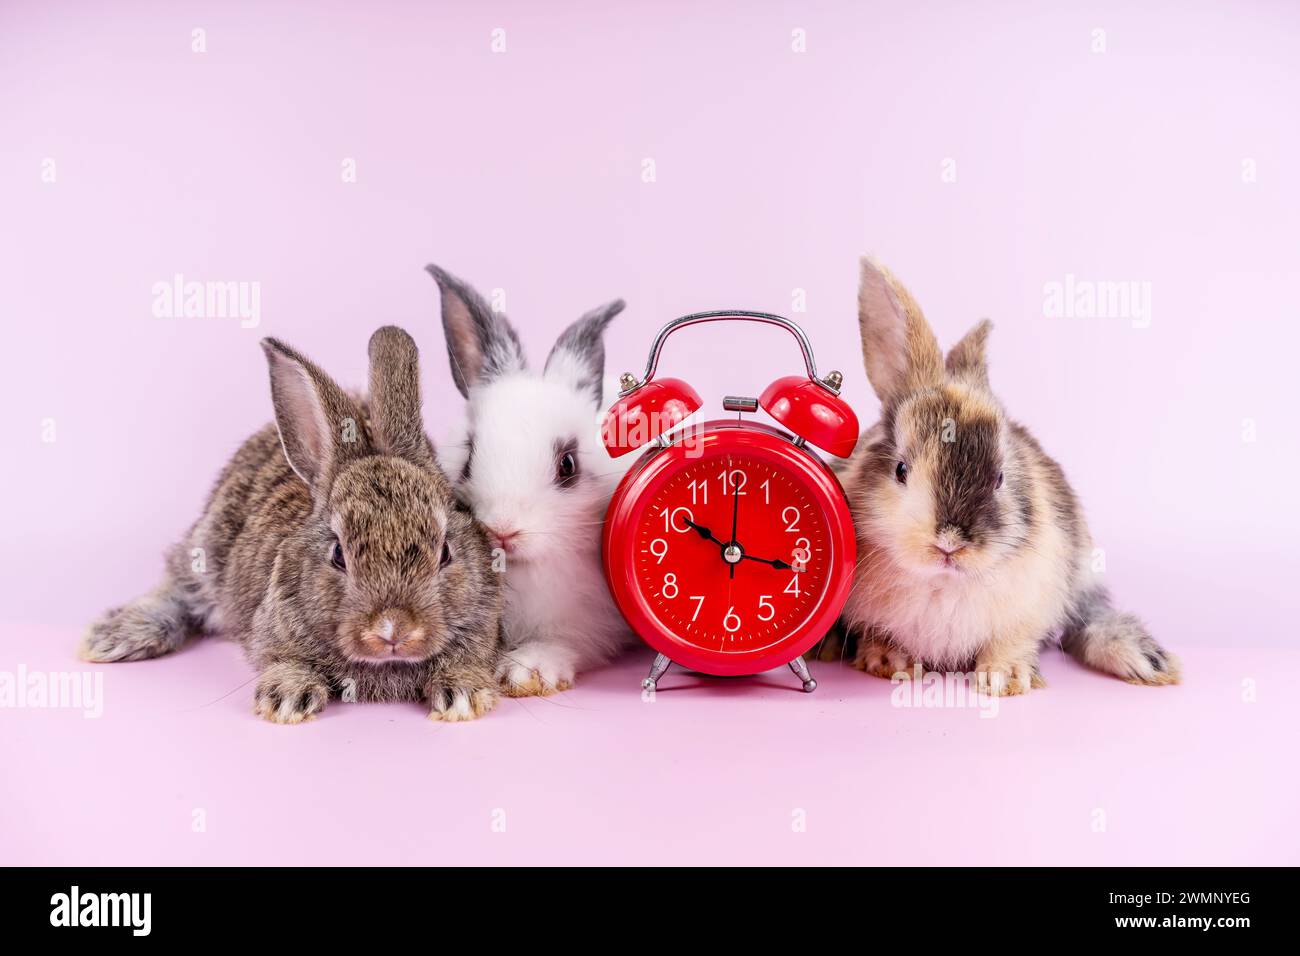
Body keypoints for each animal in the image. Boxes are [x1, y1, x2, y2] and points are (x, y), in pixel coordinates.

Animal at [80, 326, 503, 723]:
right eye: (338, 555)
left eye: (445, 552)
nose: (393, 630)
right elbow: (284, 661)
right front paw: (286, 699)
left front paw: (462, 695)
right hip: (208, 547)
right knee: (181, 587)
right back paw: (113, 636)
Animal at [425, 264, 635, 696]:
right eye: (468, 455)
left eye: (568, 465)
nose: (502, 530)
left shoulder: (590, 623)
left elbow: (563, 640)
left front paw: (527, 671)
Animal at [828, 258, 1180, 695]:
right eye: (901, 470)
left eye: (999, 477)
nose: (949, 543)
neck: (944, 581)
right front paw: (889, 662)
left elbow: (1010, 641)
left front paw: (1005, 679)